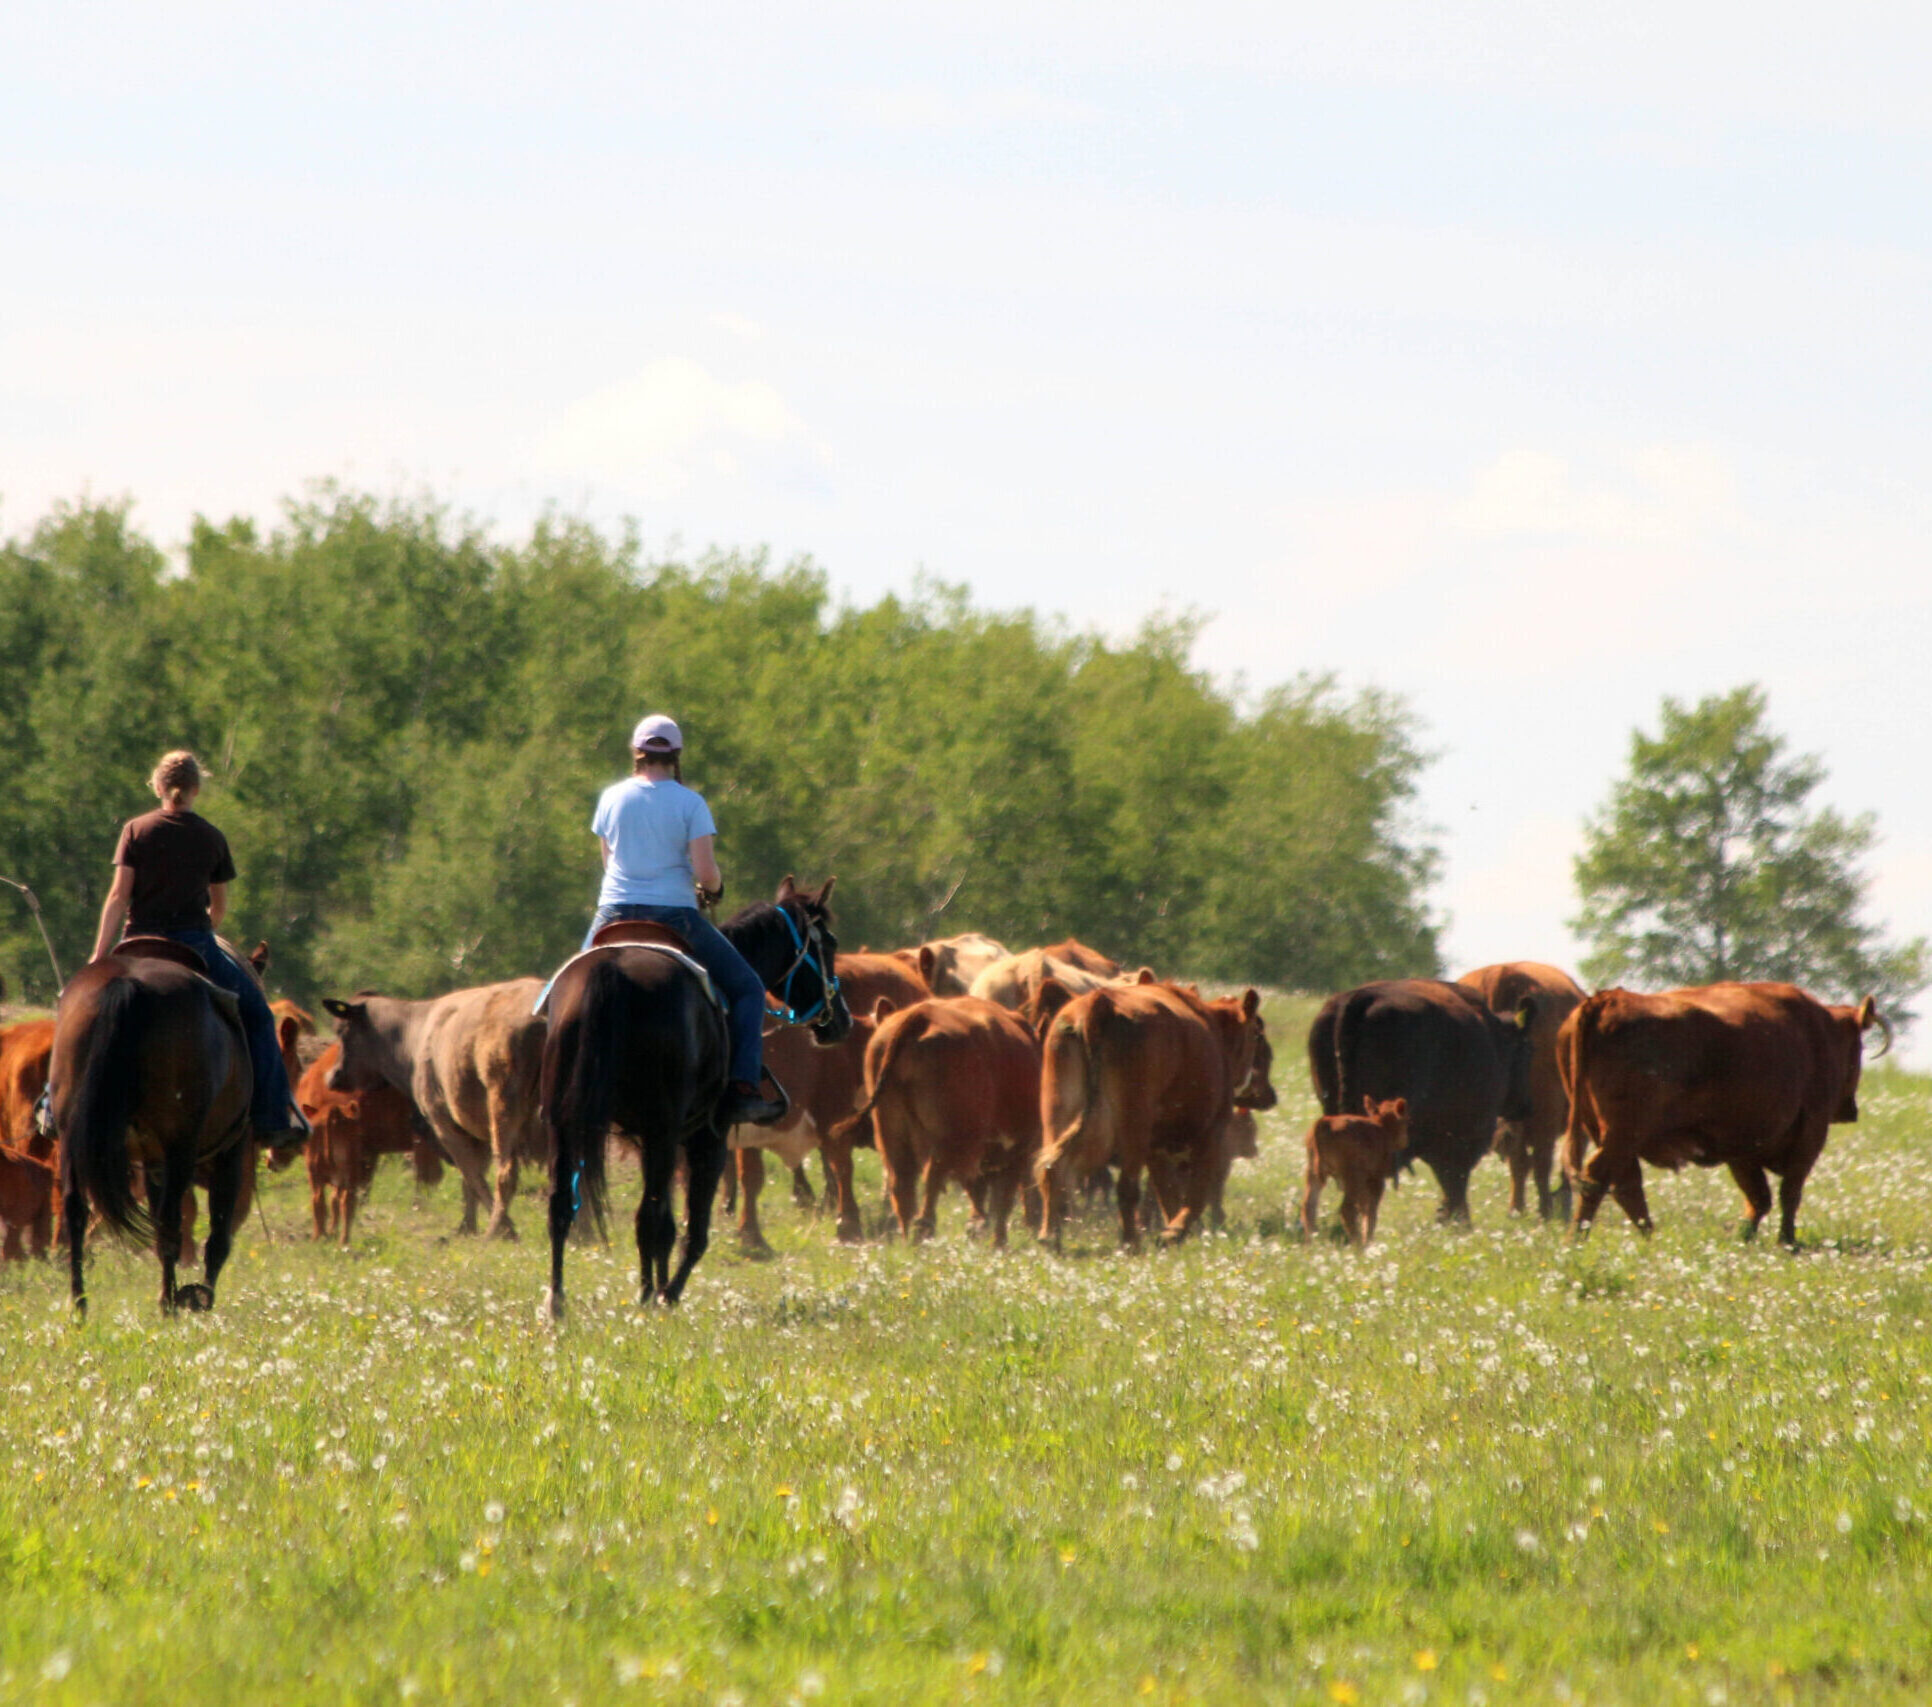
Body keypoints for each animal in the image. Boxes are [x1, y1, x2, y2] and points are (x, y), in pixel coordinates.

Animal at [322, 979, 546, 1239]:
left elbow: (472, 1175)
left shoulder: (445, 1125)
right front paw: (467, 1226)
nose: (333, 1077)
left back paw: (495, 1231)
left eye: (342, 1031)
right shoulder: (474, 1133)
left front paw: (500, 1227)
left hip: (503, 1109)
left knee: (507, 1174)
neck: (413, 1036)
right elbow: (471, 1181)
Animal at [833, 995, 1044, 1247]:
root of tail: (921, 1015)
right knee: (932, 1179)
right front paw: (997, 1243)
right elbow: (1001, 1202)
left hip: (891, 1135)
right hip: (948, 1140)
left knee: (900, 1186)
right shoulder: (1014, 1151)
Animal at [1035, 980, 1272, 1249]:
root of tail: (1099, 1003)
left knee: (1052, 1169)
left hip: (1057, 1113)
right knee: (1127, 1188)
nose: (1267, 1094)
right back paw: (1131, 1244)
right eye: (1257, 1035)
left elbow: (1168, 1193)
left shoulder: (1158, 1147)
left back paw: (1050, 1236)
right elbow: (1196, 1192)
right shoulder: (1212, 1132)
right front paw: (1175, 1232)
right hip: (1134, 1124)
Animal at [1301, 1097, 1409, 1247]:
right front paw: (1368, 1241)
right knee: (1347, 1209)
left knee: (1309, 1206)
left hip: (1314, 1175)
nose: (1406, 1140)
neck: (1381, 1127)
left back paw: (1312, 1243)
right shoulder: (1375, 1179)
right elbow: (1371, 1212)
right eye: (1406, 1121)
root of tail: (1324, 1123)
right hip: (1352, 1178)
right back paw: (1359, 1246)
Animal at [1559, 982, 1889, 1245]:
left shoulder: (1741, 1149)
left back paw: (1649, 1239)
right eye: (1857, 1049)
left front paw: (1746, 1237)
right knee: (1600, 1178)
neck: (1818, 1032)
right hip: (1623, 1134)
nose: (1850, 1110)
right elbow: (1789, 1193)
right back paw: (1577, 1239)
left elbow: (1759, 1198)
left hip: (1606, 1134)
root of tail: (1607, 1000)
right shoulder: (1810, 1134)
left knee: (1625, 1185)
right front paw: (1787, 1241)